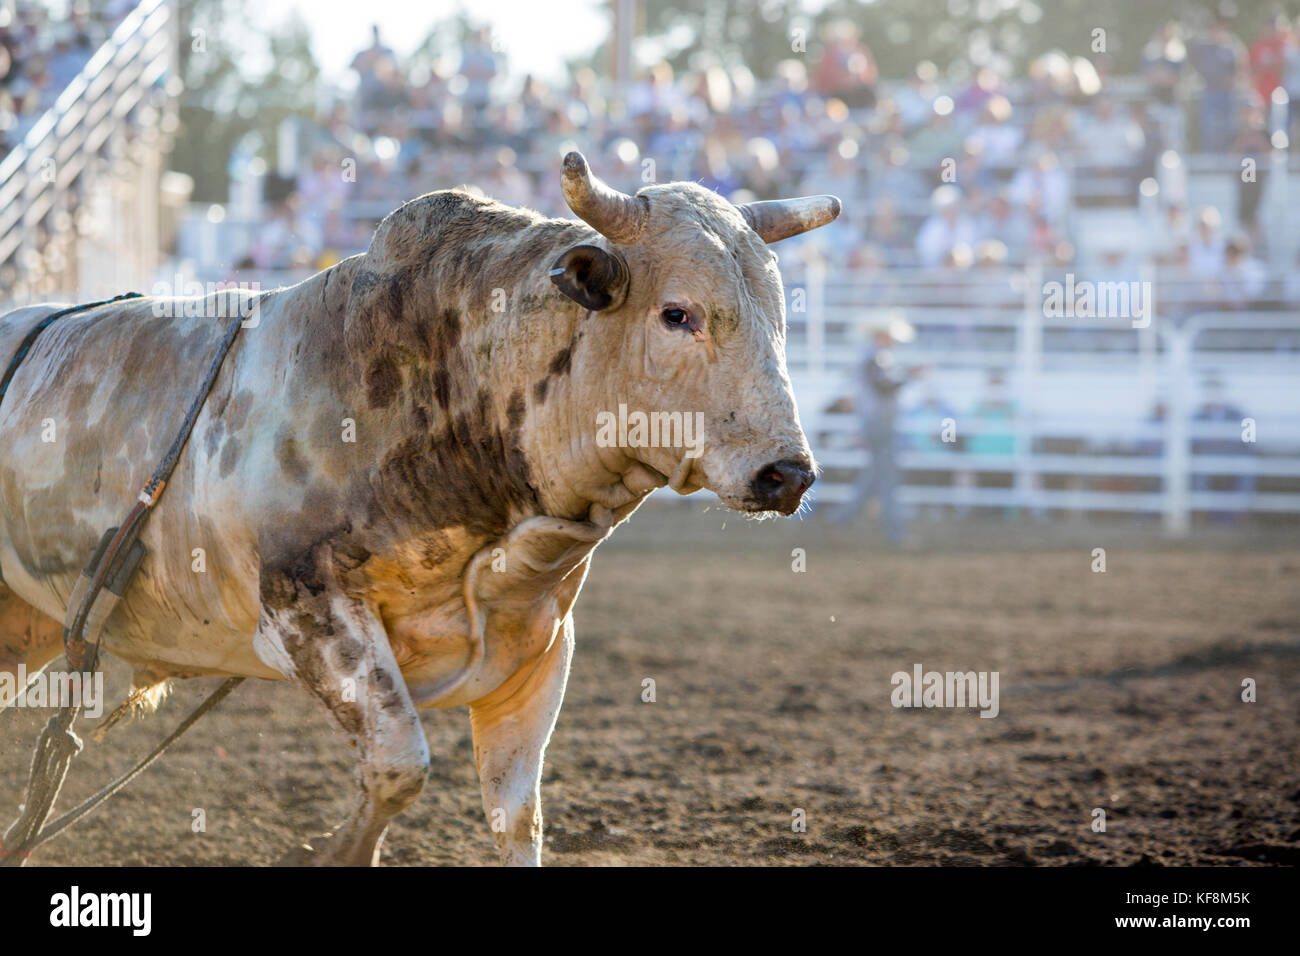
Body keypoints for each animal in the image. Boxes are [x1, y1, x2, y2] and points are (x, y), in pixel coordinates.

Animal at [0, 152, 838, 865]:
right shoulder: (310, 609)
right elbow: (401, 766)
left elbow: (516, 815)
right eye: (677, 313)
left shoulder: (540, 645)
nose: (787, 473)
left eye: (780, 318)